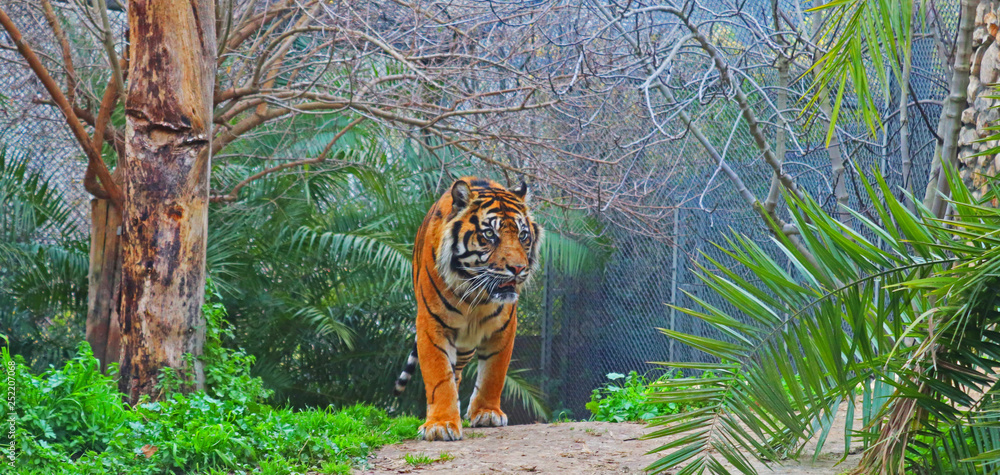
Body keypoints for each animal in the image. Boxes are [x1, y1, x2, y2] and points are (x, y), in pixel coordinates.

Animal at [393, 177, 542, 441]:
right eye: (490, 234)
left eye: (523, 235)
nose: (517, 268)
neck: (477, 294)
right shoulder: (431, 325)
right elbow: (439, 376)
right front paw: (440, 424)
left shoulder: (504, 327)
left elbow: (494, 373)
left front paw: (487, 413)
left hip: (465, 347)